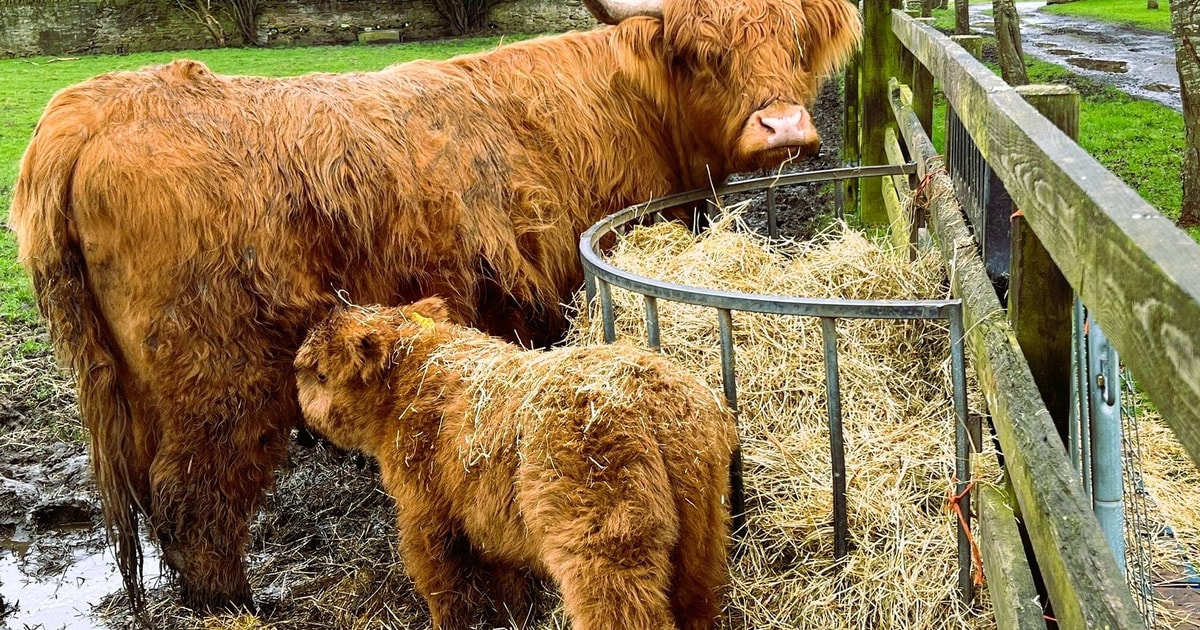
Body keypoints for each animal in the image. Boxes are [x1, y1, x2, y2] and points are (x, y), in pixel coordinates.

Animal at [294, 299, 737, 629]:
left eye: (320, 375)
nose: (302, 416)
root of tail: (646, 395)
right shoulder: (489, 524)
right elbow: (508, 585)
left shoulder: (424, 512)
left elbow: (441, 583)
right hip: (702, 529)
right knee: (698, 603)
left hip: (607, 542)